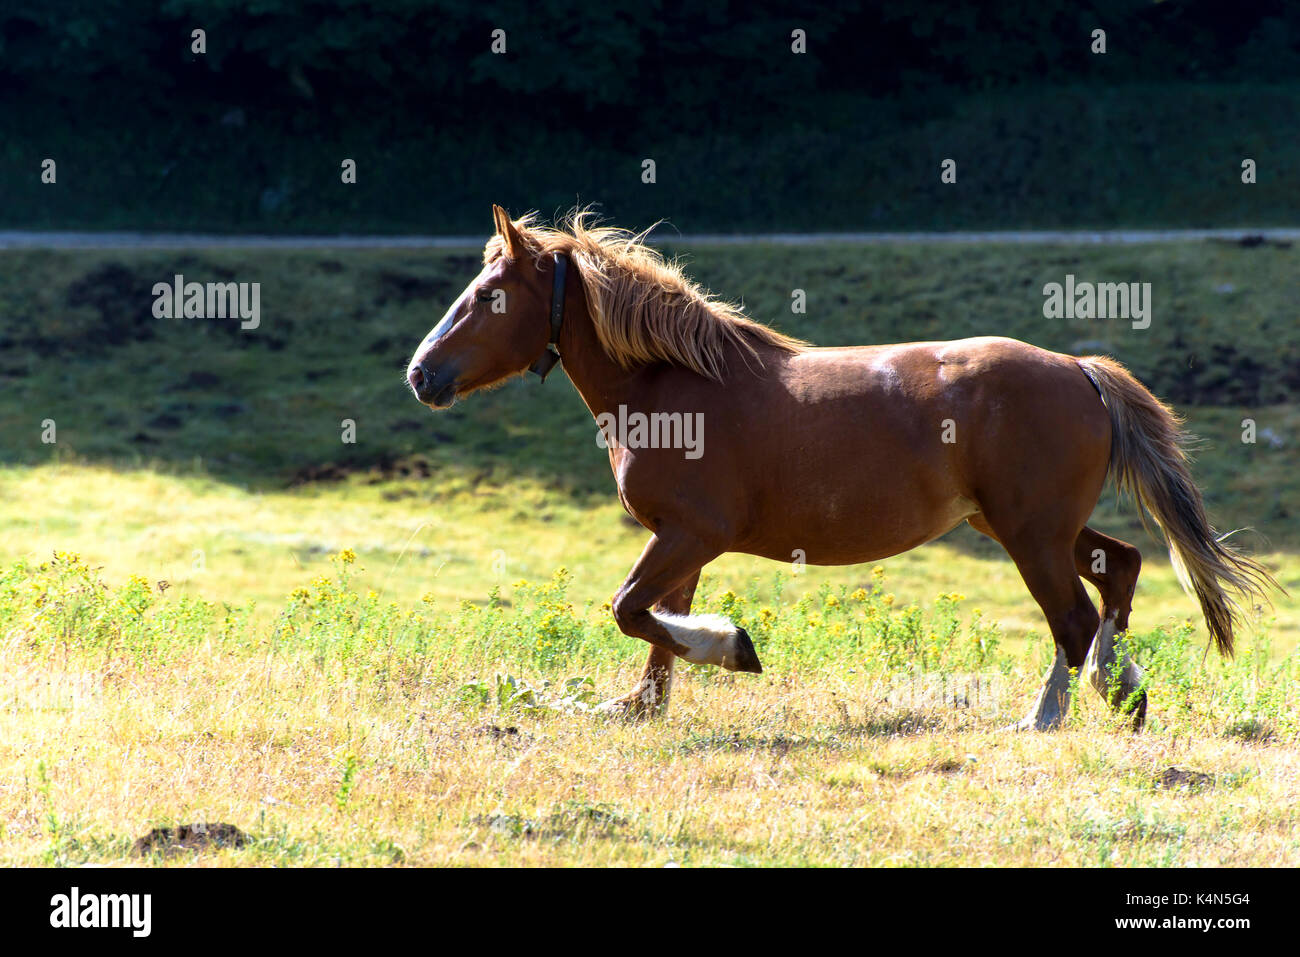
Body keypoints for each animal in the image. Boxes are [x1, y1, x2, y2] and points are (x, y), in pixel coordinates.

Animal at [406, 205, 1279, 730]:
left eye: (488, 295)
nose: (422, 374)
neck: (671, 385)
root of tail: (1080, 369)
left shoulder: (689, 532)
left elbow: (632, 610)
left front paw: (737, 647)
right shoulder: (680, 540)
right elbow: (655, 637)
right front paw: (640, 703)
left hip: (1029, 534)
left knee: (1071, 617)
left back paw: (1048, 717)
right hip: (1028, 524)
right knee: (1120, 571)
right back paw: (1122, 690)